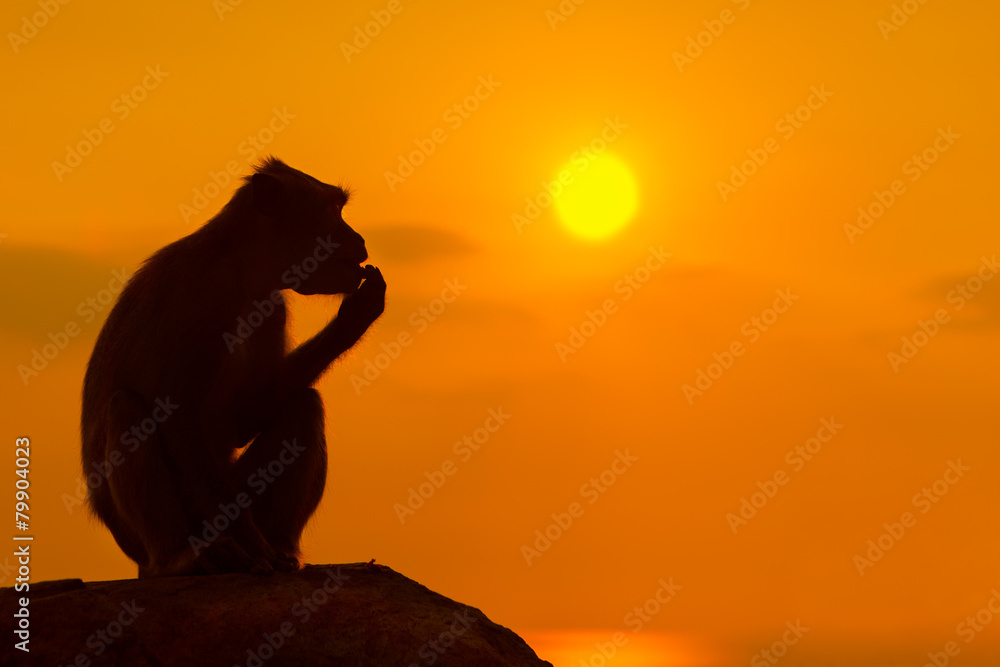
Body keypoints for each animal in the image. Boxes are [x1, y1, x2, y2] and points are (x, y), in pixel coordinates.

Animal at [81, 157, 385, 578]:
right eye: (334, 210)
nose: (358, 238)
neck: (244, 271)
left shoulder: (272, 306)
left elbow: (244, 419)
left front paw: (355, 317)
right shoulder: (202, 289)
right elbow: (179, 418)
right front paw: (253, 549)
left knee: (304, 405)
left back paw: (281, 546)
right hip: (150, 532)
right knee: (125, 409)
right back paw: (180, 554)